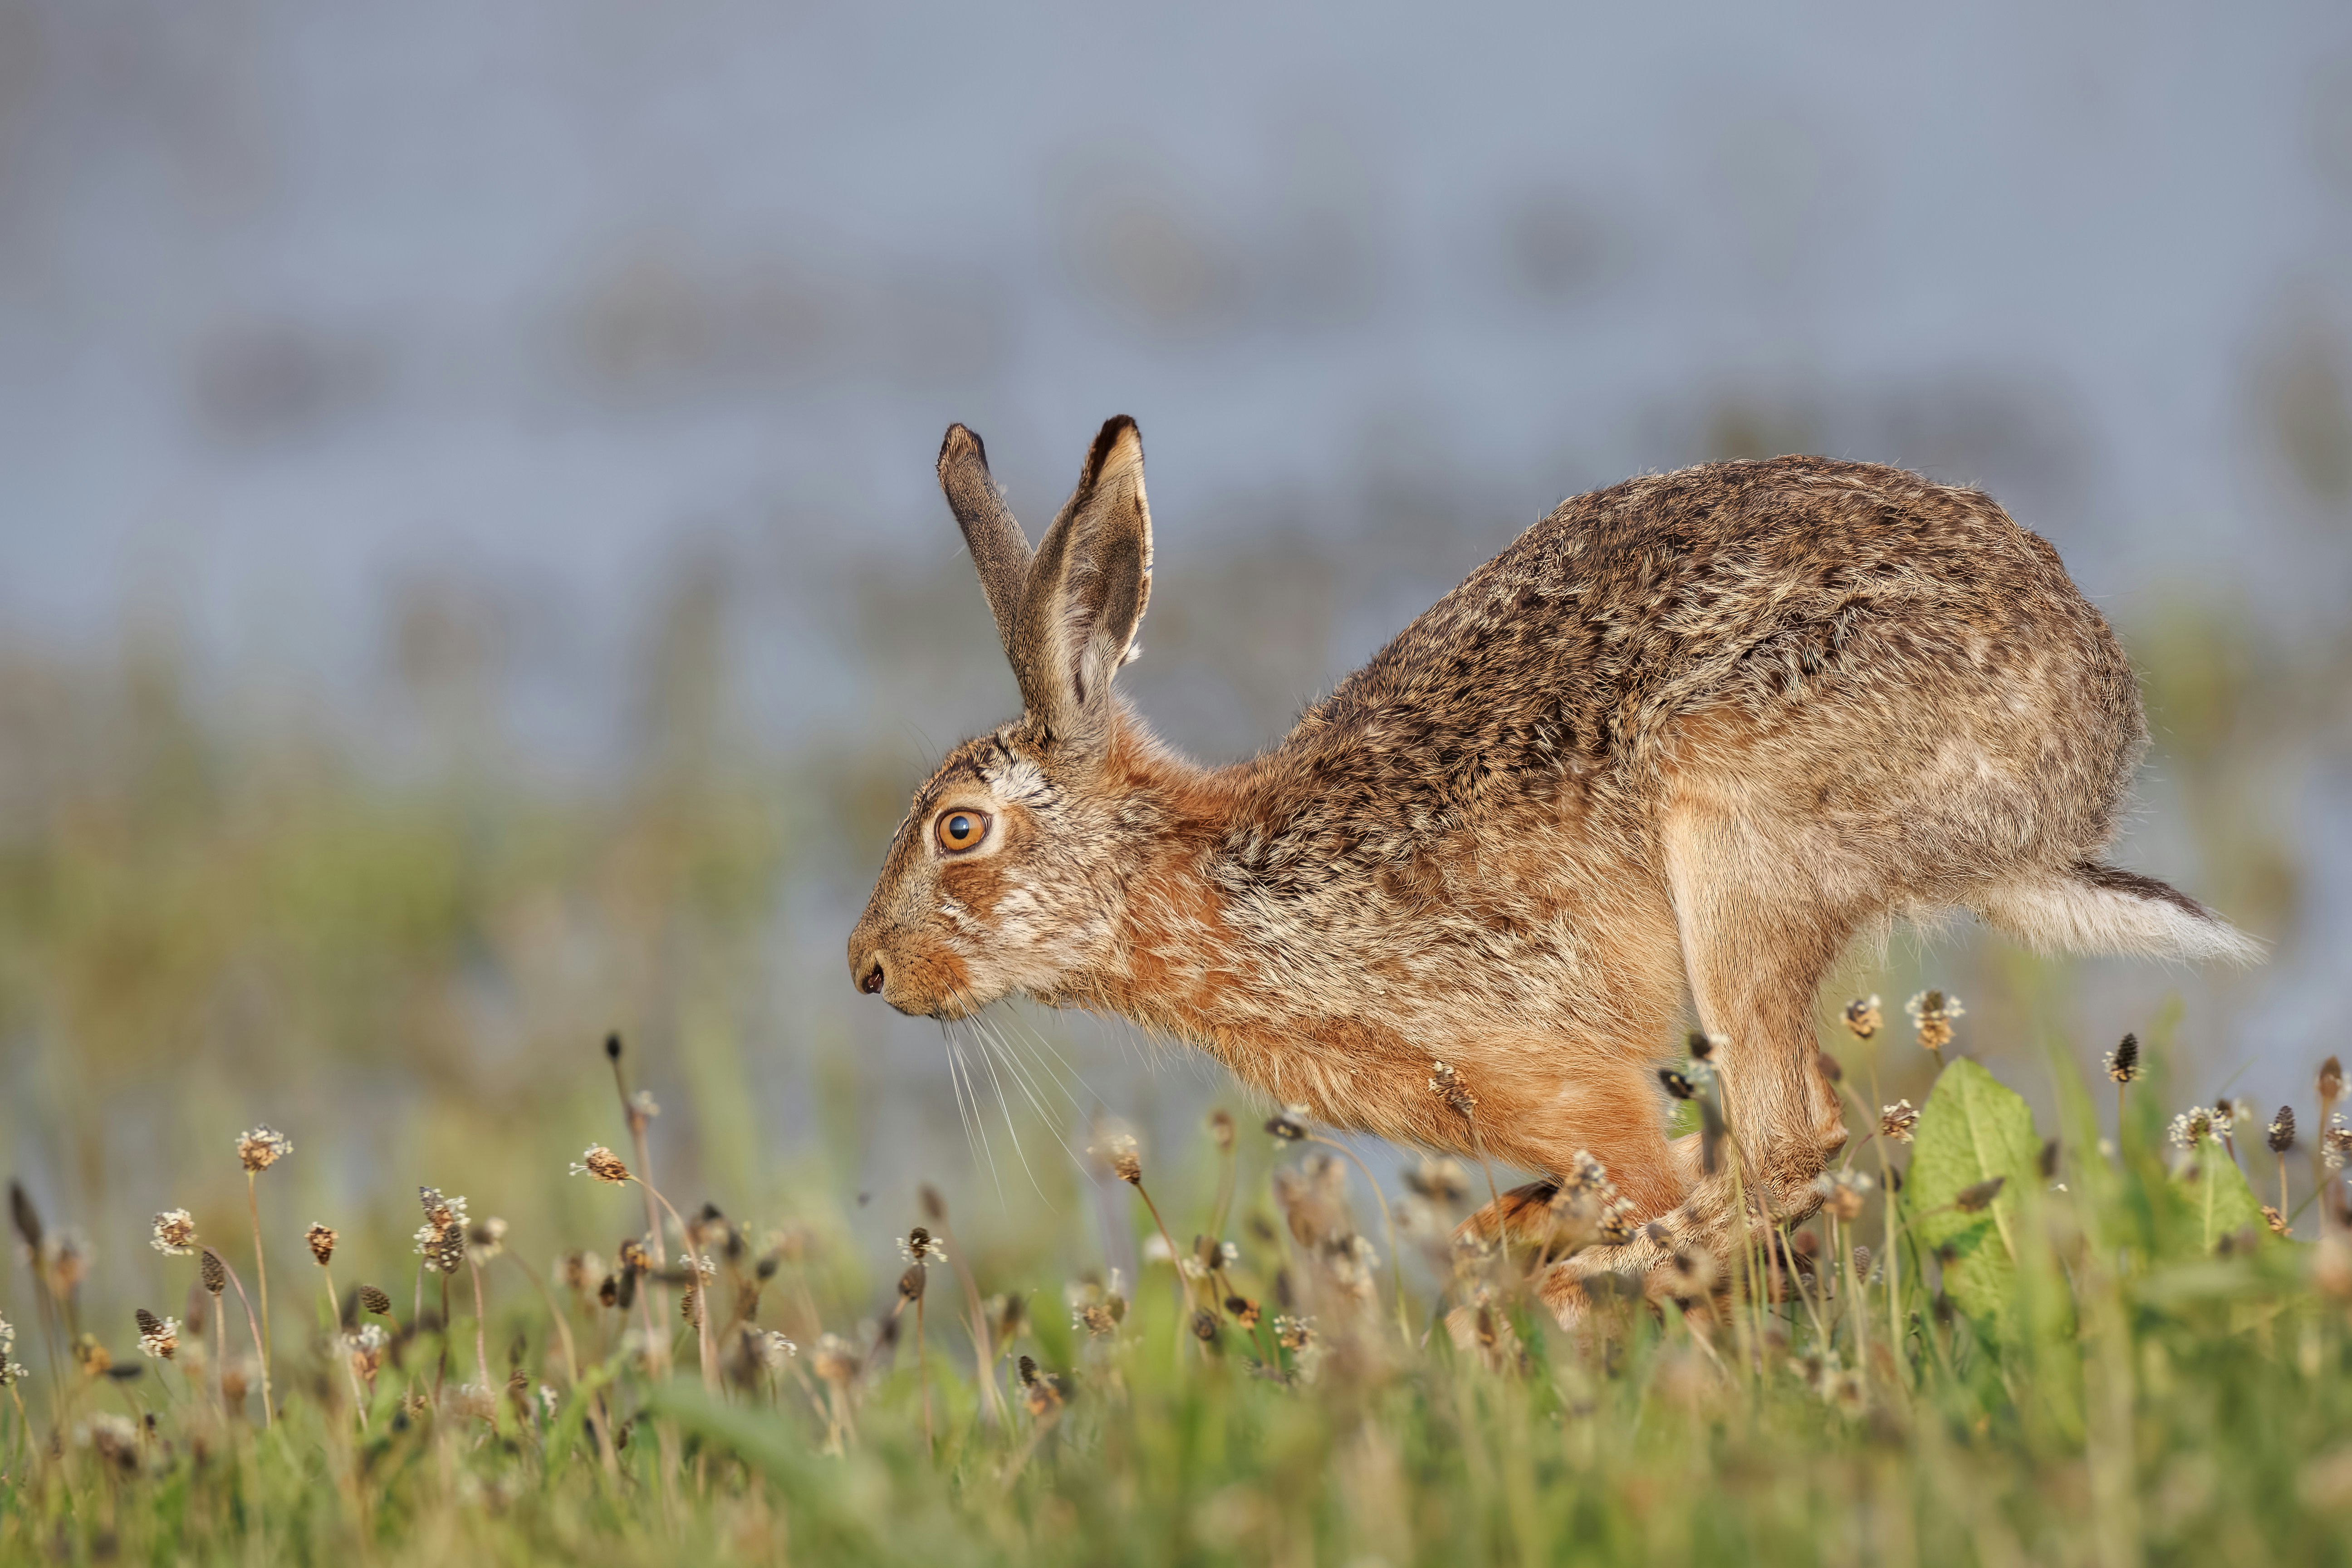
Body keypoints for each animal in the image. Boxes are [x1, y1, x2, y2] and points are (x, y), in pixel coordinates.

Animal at [847, 415, 2257, 1319]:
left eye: (961, 830)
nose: (869, 972)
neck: (1214, 878)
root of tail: (2070, 772)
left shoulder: (1563, 1080)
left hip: (1737, 823)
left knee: (1792, 1137)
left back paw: (1615, 1273)